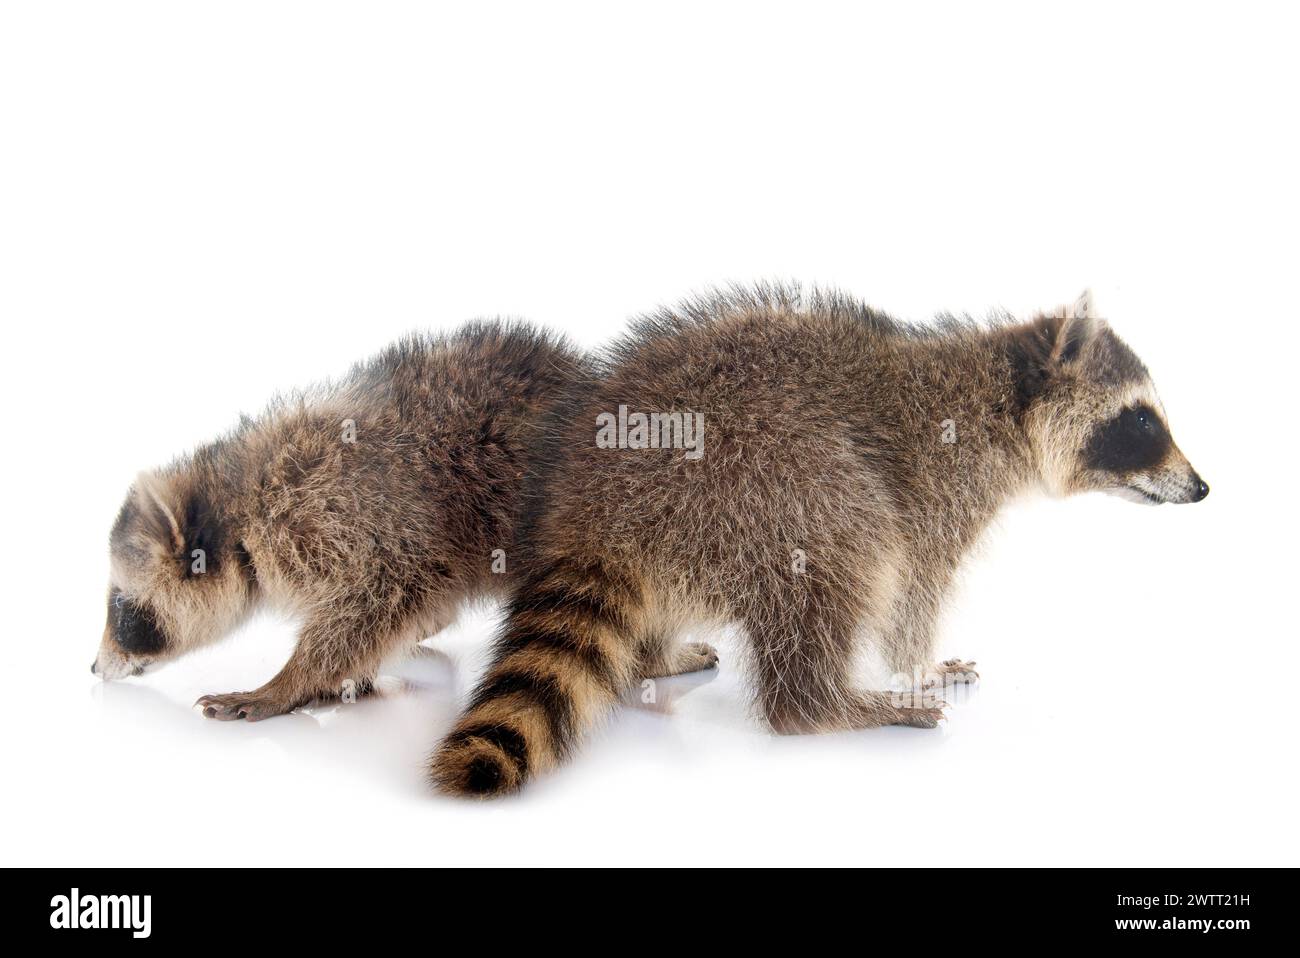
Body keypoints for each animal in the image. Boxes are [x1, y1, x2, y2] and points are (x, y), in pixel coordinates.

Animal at [94, 321, 589, 720]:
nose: (93, 666)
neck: (240, 514)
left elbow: (380, 593)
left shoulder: (346, 512)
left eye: (120, 606)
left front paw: (289, 682)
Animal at [432, 286, 1209, 797]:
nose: (1202, 488)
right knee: (854, 534)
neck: (1000, 395)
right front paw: (918, 666)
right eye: (1142, 421)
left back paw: (653, 655)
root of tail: (592, 507)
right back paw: (824, 705)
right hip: (751, 481)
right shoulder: (940, 484)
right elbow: (914, 587)